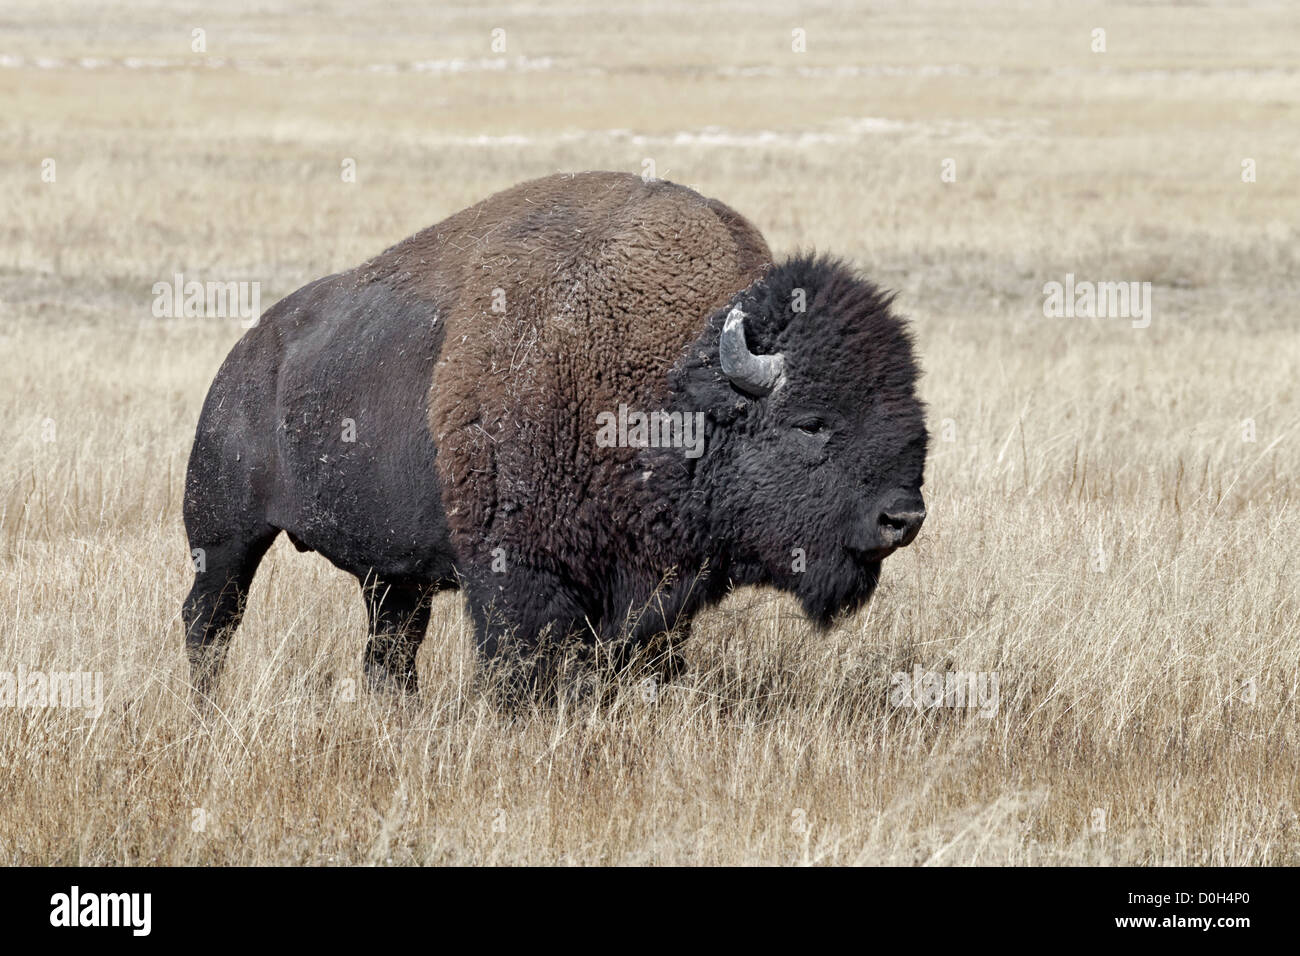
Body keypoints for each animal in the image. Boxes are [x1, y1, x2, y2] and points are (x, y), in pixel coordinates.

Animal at [182, 171, 927, 698]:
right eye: (811, 423)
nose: (903, 517)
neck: (673, 386)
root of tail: (246, 356)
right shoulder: (520, 579)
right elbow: (523, 671)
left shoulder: (654, 594)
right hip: (223, 538)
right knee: (208, 624)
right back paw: (207, 710)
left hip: (390, 576)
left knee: (389, 652)